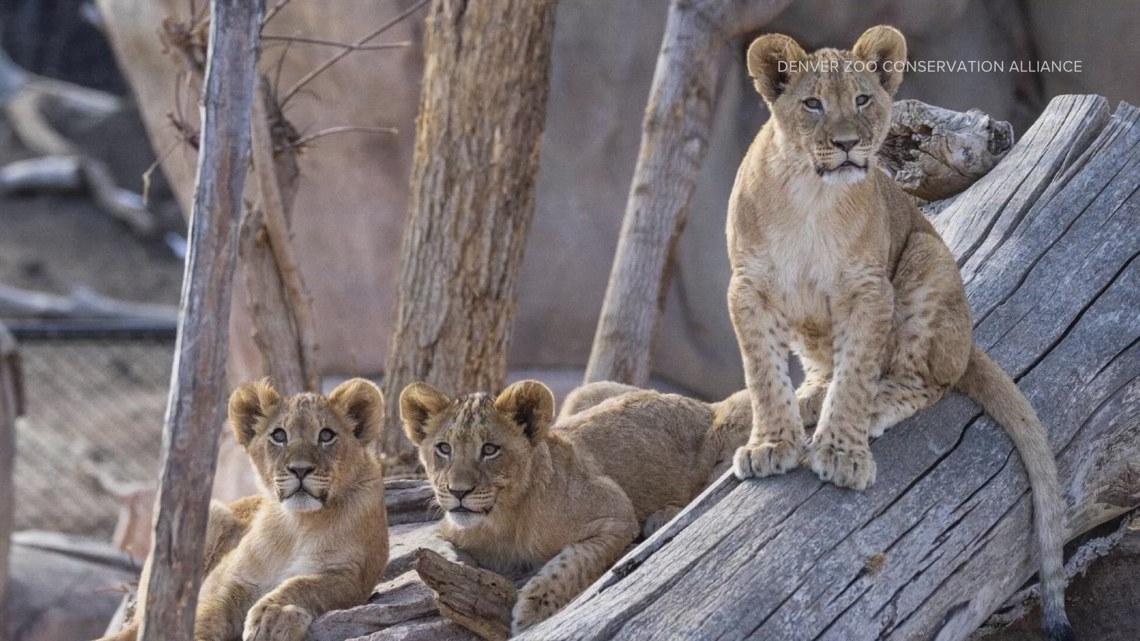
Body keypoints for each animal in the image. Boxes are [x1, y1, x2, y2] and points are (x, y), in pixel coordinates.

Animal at [99, 378, 389, 641]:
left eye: (326, 435)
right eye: (279, 436)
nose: (300, 469)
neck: (297, 524)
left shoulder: (351, 575)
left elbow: (305, 584)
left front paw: (274, 617)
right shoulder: (229, 578)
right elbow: (208, 612)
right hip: (210, 514)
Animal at [400, 380, 639, 634]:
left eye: (490, 449)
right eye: (444, 448)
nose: (458, 492)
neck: (506, 519)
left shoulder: (618, 511)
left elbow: (574, 561)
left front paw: (533, 610)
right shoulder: (445, 527)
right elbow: (432, 545)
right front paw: (456, 569)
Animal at [725, 25, 1071, 640]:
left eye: (863, 99)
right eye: (812, 104)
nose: (846, 144)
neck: (811, 196)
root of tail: (969, 341)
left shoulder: (869, 291)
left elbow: (857, 372)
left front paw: (842, 454)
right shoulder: (748, 288)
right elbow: (763, 372)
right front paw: (771, 444)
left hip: (927, 259)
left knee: (925, 380)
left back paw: (870, 409)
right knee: (827, 366)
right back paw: (810, 396)